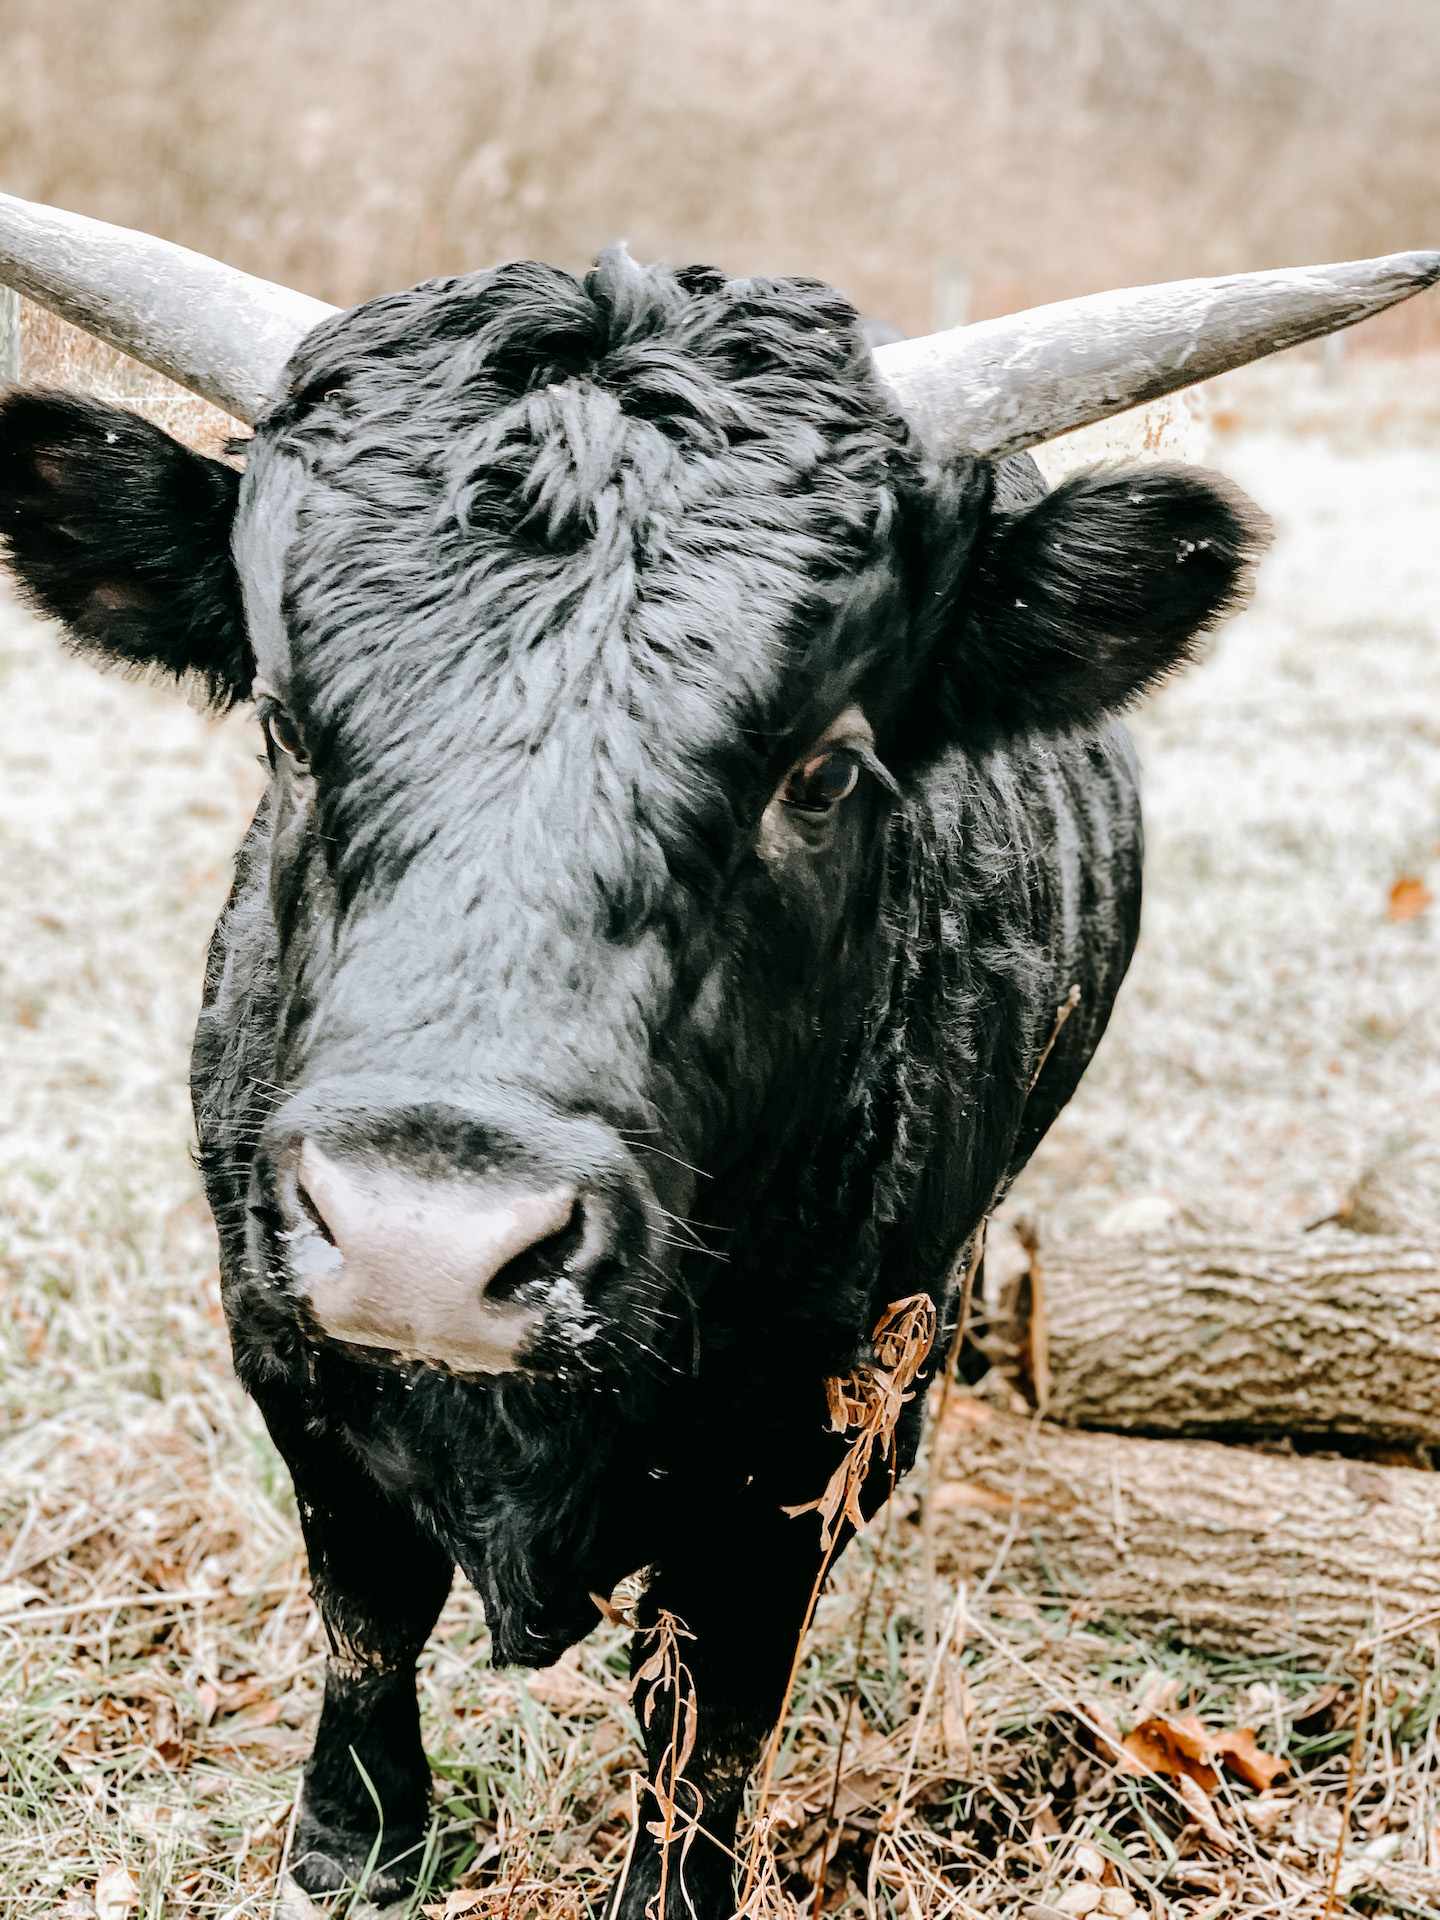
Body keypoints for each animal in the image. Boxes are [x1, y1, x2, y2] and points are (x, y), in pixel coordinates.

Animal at [2, 194, 1435, 1915]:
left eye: (822, 770)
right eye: (283, 726)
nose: (427, 1242)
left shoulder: (802, 1450)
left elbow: (708, 1729)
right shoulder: (285, 1340)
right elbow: (365, 1613)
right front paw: (354, 1843)